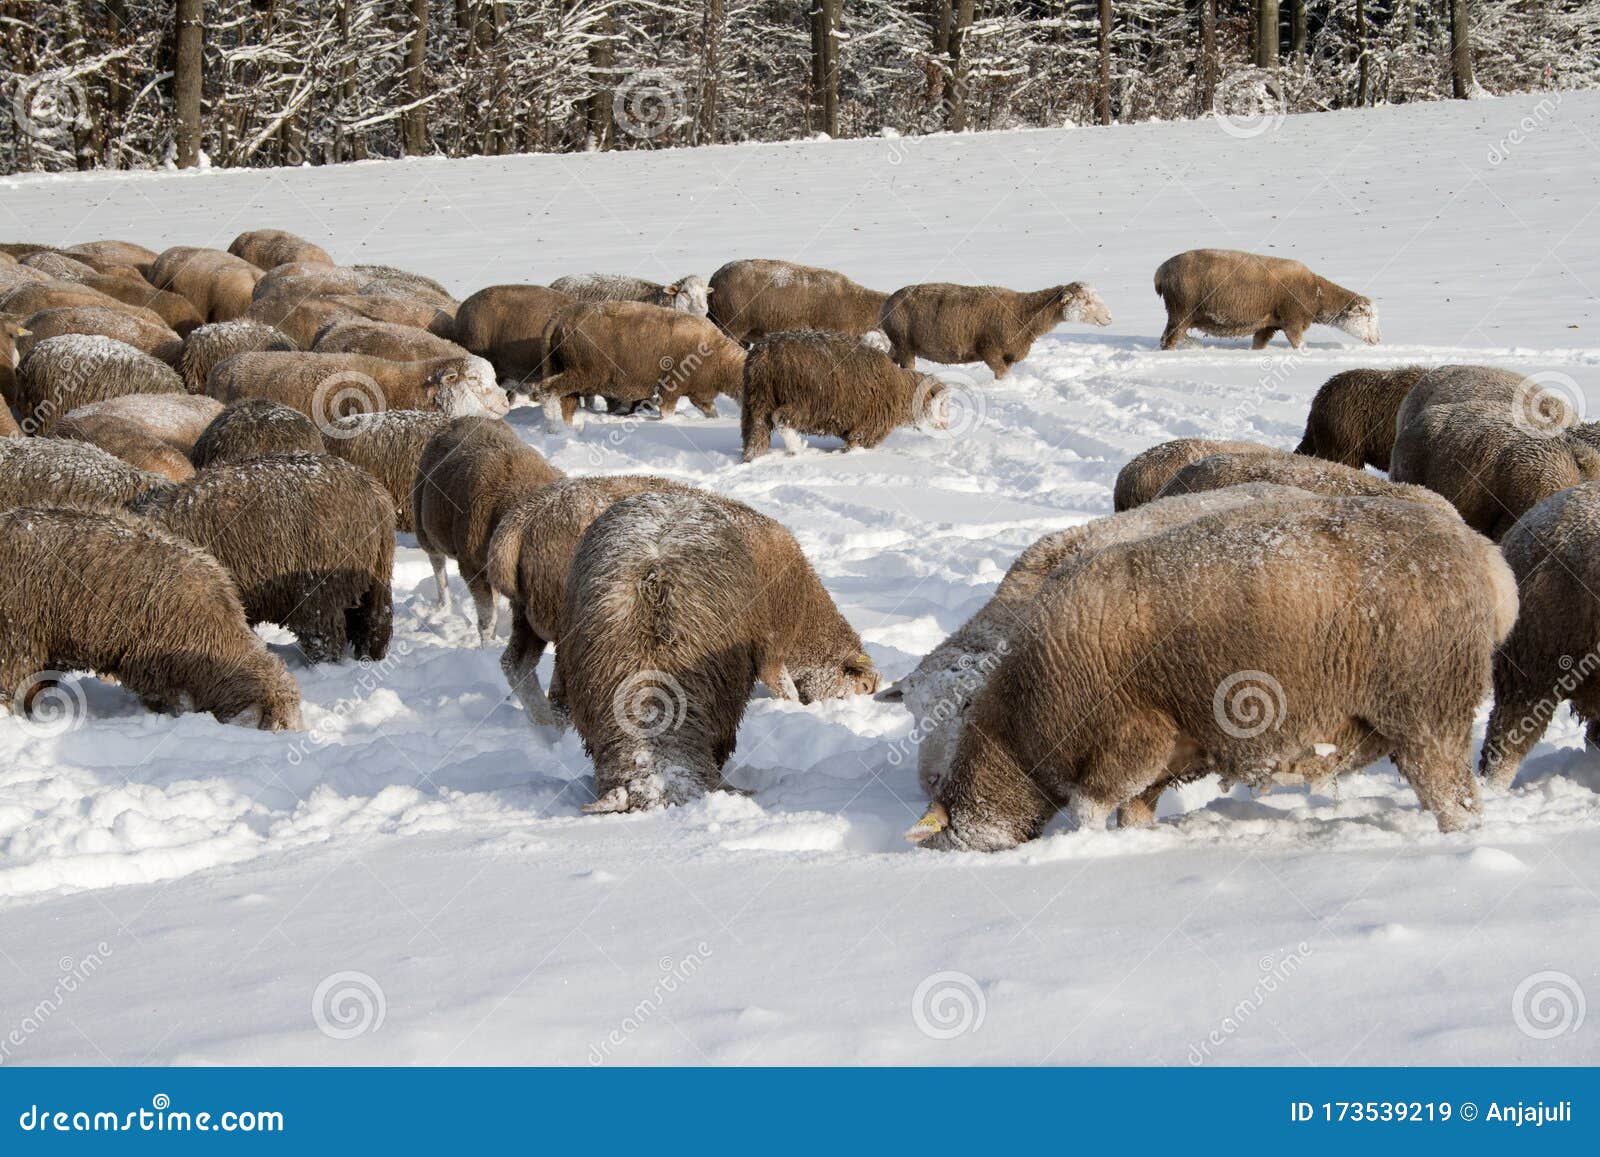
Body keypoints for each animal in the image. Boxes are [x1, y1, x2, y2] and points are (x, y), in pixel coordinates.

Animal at [412, 417, 564, 643]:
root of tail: (466, 417)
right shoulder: (473, 567)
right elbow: (486, 620)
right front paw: (487, 645)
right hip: (426, 532)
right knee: (438, 567)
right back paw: (444, 606)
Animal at [537, 300, 746, 424]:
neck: (720, 360)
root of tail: (561, 316)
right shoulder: (672, 386)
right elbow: (667, 411)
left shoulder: (700, 393)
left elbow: (711, 411)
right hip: (584, 370)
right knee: (547, 389)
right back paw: (556, 426)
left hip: (560, 364)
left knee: (566, 400)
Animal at [739, 329, 947, 460]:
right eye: (942, 403)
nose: (945, 425)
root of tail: (765, 351)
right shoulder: (869, 427)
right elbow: (856, 442)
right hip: (805, 401)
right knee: (781, 418)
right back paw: (796, 447)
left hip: (757, 397)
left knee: (757, 429)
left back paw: (753, 456)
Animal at [879, 281, 1111, 377]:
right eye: (1085, 300)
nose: (1109, 317)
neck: (1024, 313)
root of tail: (887, 303)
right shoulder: (990, 350)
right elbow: (1002, 374)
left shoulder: (1009, 355)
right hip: (904, 343)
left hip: (897, 344)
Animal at [1153, 248, 1380, 349]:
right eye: (1367, 316)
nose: (1377, 340)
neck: (1317, 295)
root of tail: (1161, 271)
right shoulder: (1292, 320)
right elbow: (1298, 344)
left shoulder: (1269, 324)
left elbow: (1259, 343)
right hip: (1181, 310)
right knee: (1168, 339)